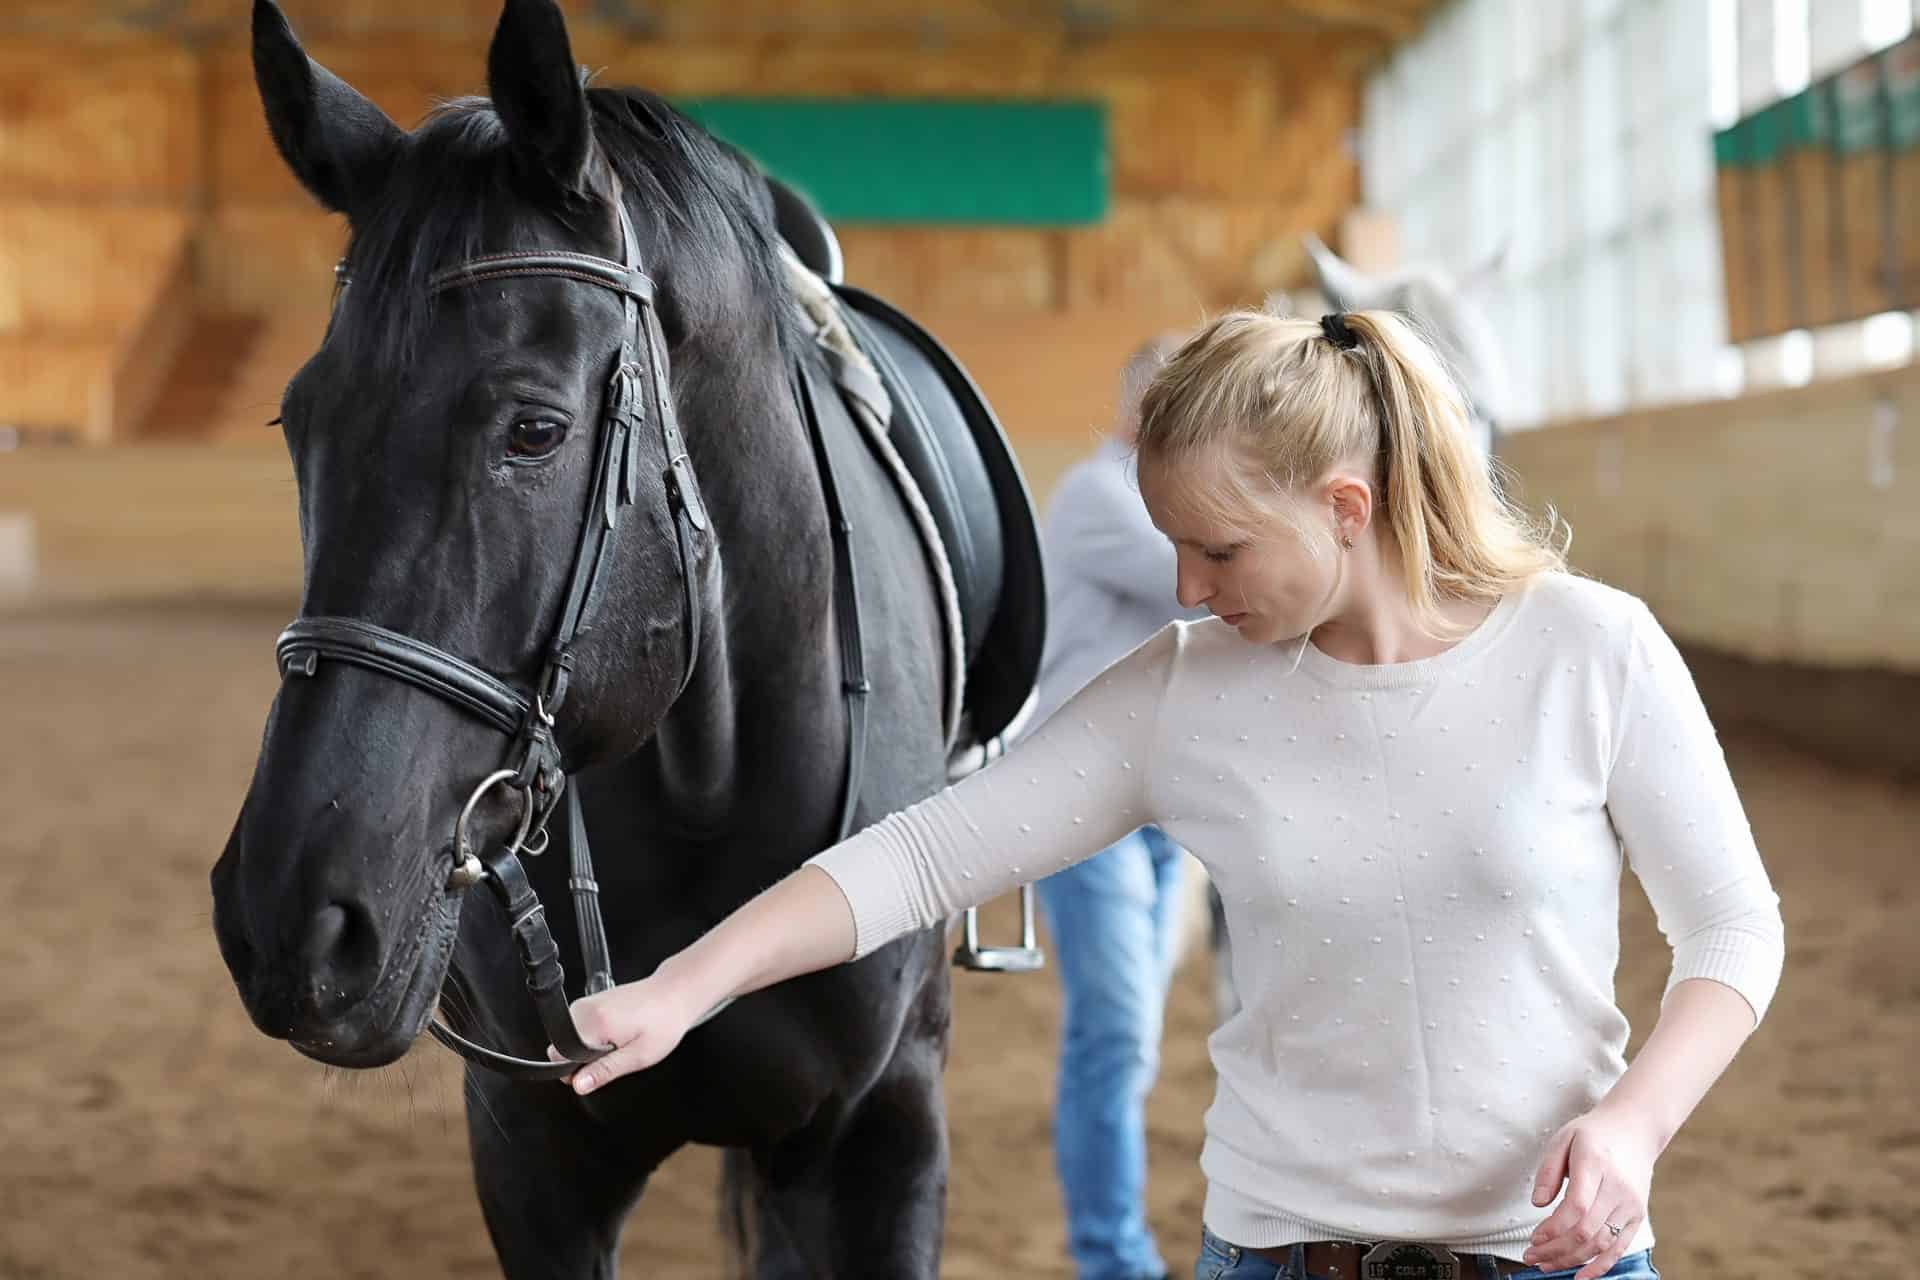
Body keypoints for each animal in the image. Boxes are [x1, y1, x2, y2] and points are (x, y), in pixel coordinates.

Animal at [208, 1, 1043, 1274]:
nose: (291, 917)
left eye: (536, 430)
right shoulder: (530, 1150)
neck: (708, 784)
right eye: (297, 422)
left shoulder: (882, 1130)